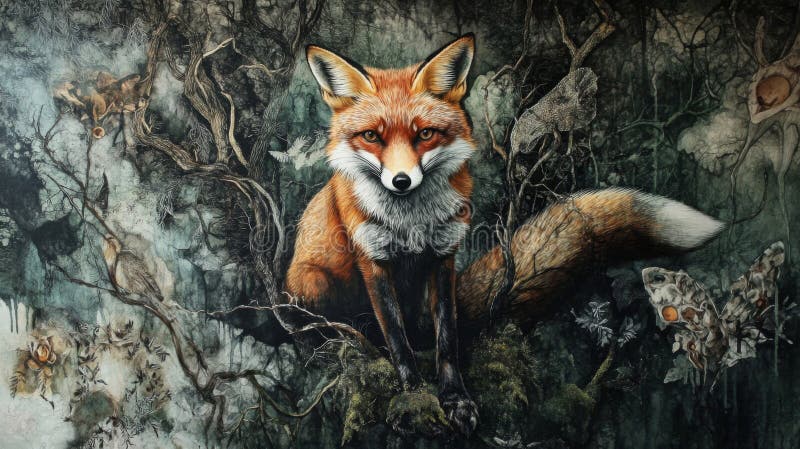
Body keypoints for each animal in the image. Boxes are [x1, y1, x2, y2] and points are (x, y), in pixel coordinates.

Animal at [286, 33, 724, 437]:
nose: (401, 181)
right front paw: (413, 393)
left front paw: (455, 398)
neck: (412, 222)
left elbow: (448, 340)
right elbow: (397, 338)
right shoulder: (373, 260)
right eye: (372, 137)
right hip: (313, 282)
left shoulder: (444, 256)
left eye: (425, 134)